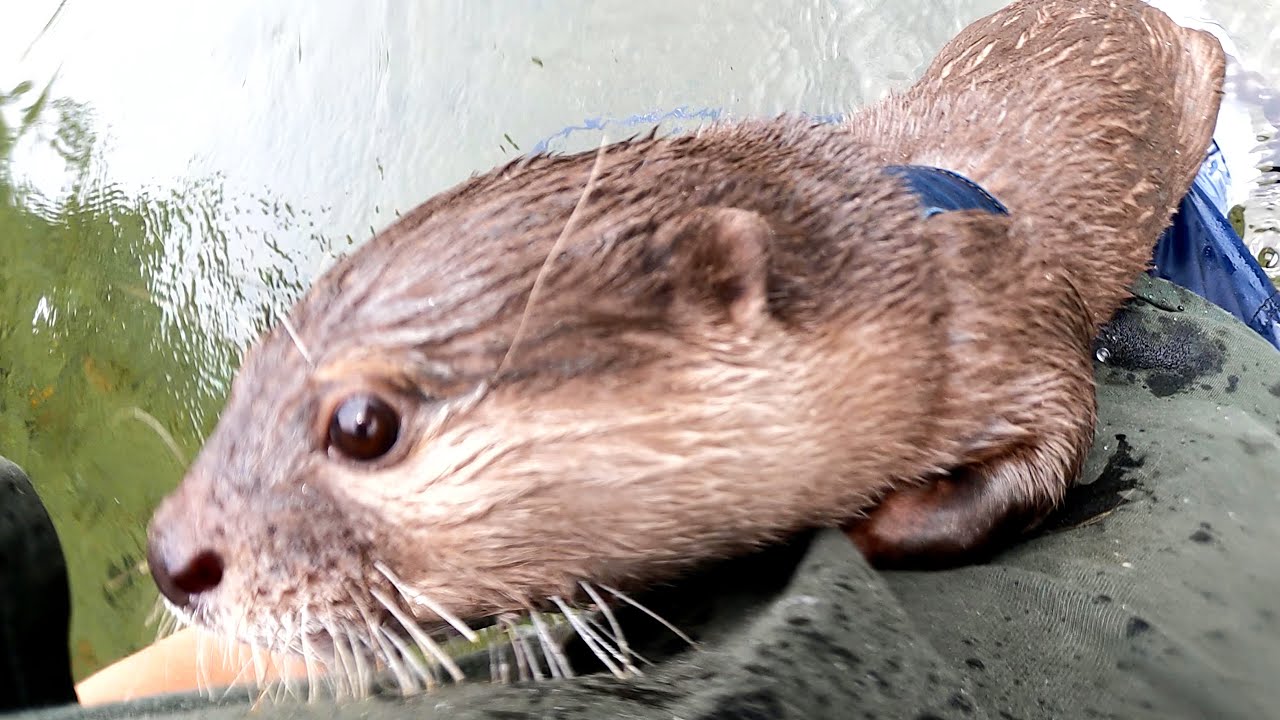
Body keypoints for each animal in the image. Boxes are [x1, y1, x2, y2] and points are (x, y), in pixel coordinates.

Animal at [145, 0, 1225, 693]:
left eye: (363, 424)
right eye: (246, 374)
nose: (168, 556)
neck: (912, 272)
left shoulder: (1014, 334)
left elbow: (1046, 457)